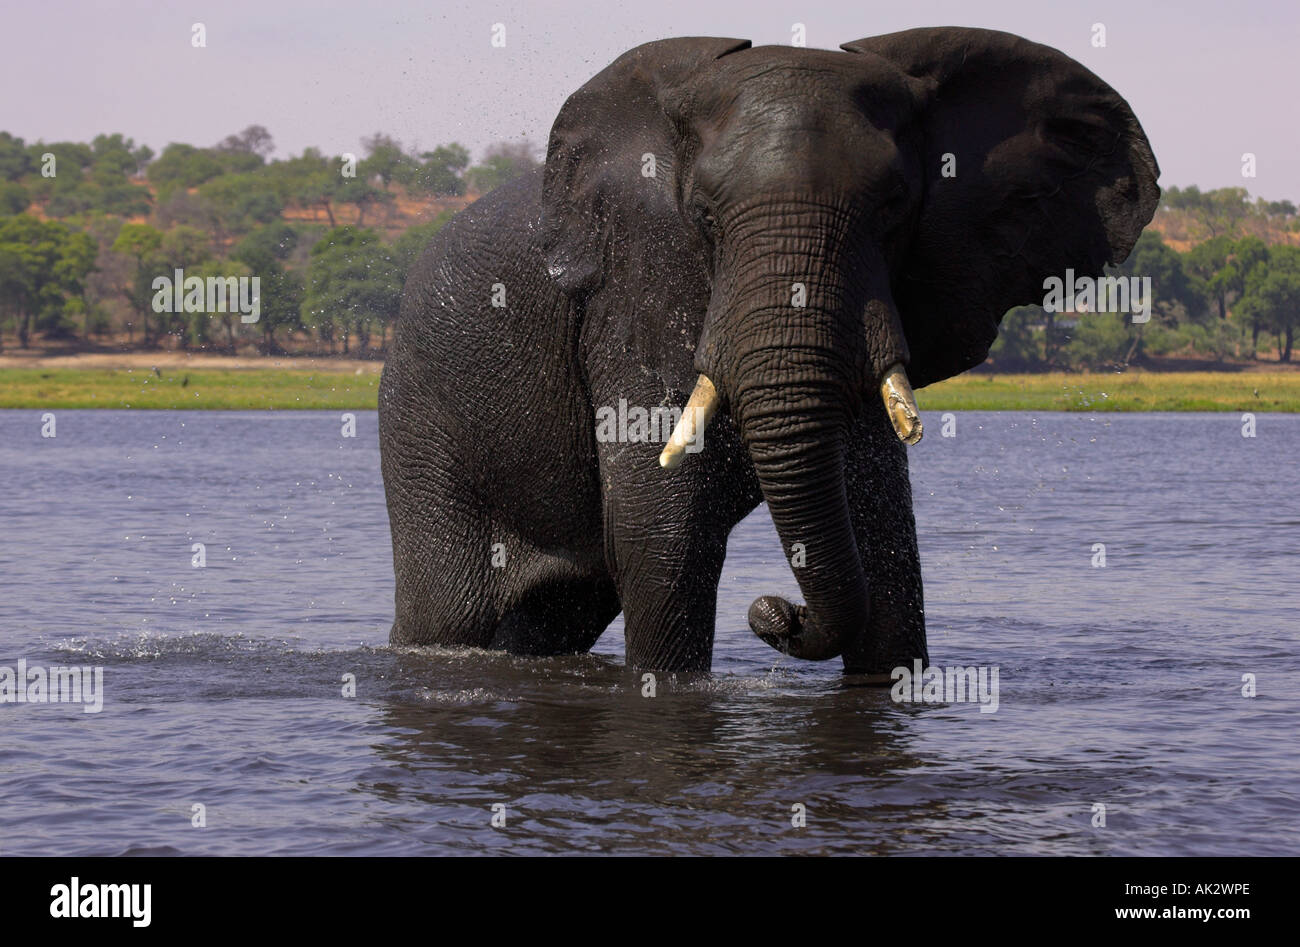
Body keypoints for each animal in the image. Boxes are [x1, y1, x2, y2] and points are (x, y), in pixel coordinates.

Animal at [379, 27, 1159, 677]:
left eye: (893, 207)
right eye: (703, 216)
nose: (774, 611)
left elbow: (886, 544)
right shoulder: (635, 290)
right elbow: (664, 534)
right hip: (422, 424)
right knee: (450, 612)